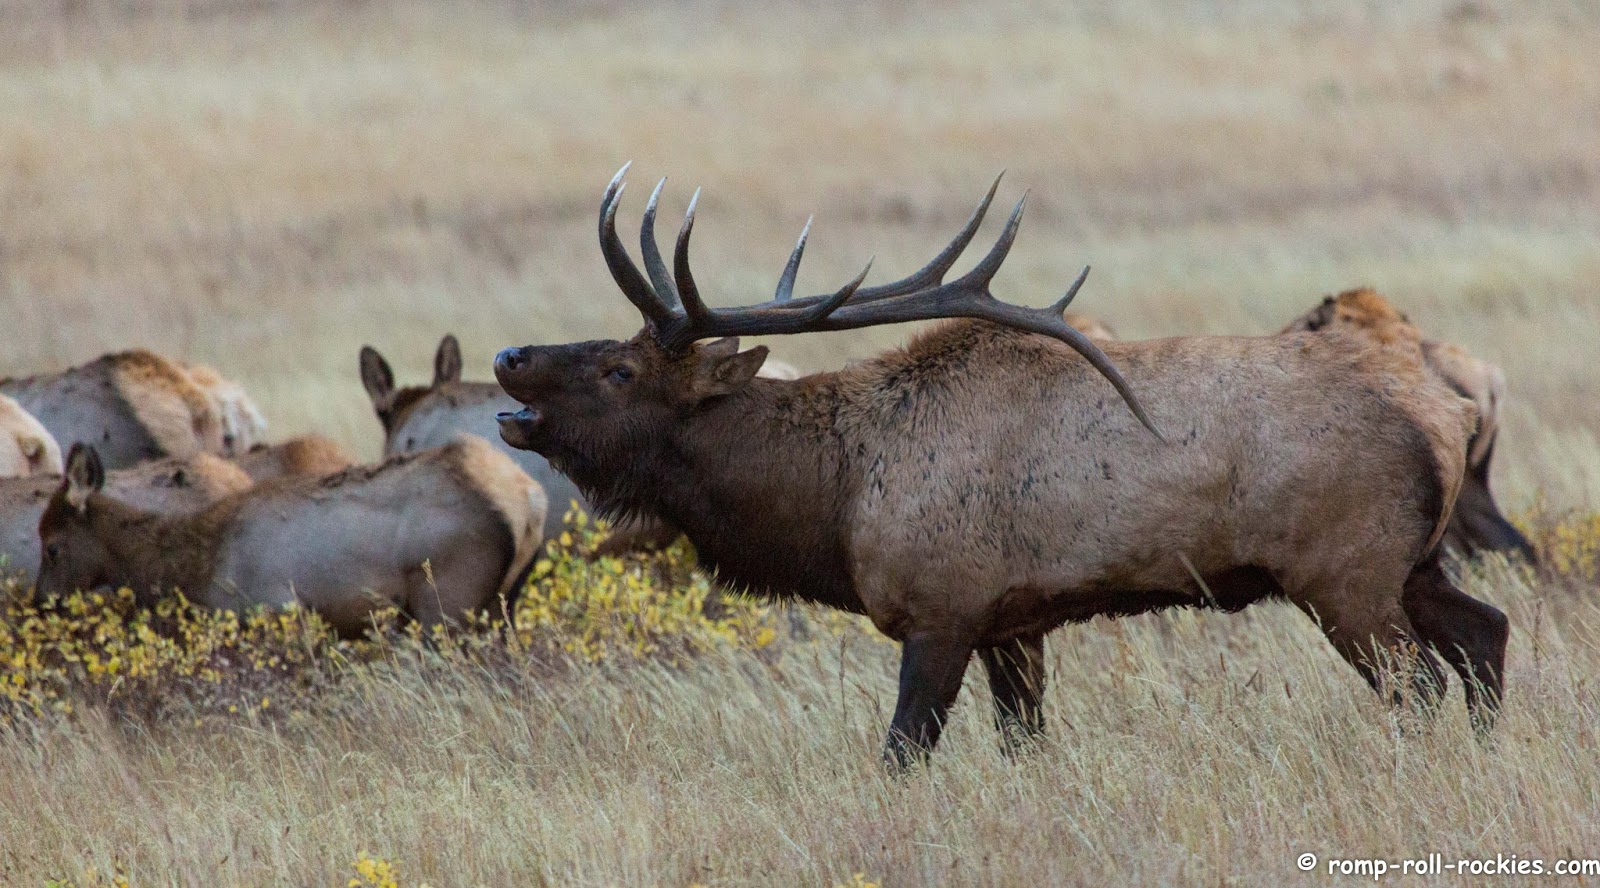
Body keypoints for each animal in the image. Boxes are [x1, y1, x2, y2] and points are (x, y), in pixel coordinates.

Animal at [37, 438, 544, 637]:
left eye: (52, 545)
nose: (42, 602)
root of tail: (529, 501)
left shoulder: (277, 609)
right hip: (503, 605)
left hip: (448, 604)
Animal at [492, 168, 1507, 766]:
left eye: (620, 370)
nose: (508, 356)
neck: (836, 504)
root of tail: (1453, 414)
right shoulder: (1013, 624)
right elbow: (1027, 744)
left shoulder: (940, 608)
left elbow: (903, 752)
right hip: (1413, 561)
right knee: (1486, 632)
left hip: (1344, 571)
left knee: (1421, 682)